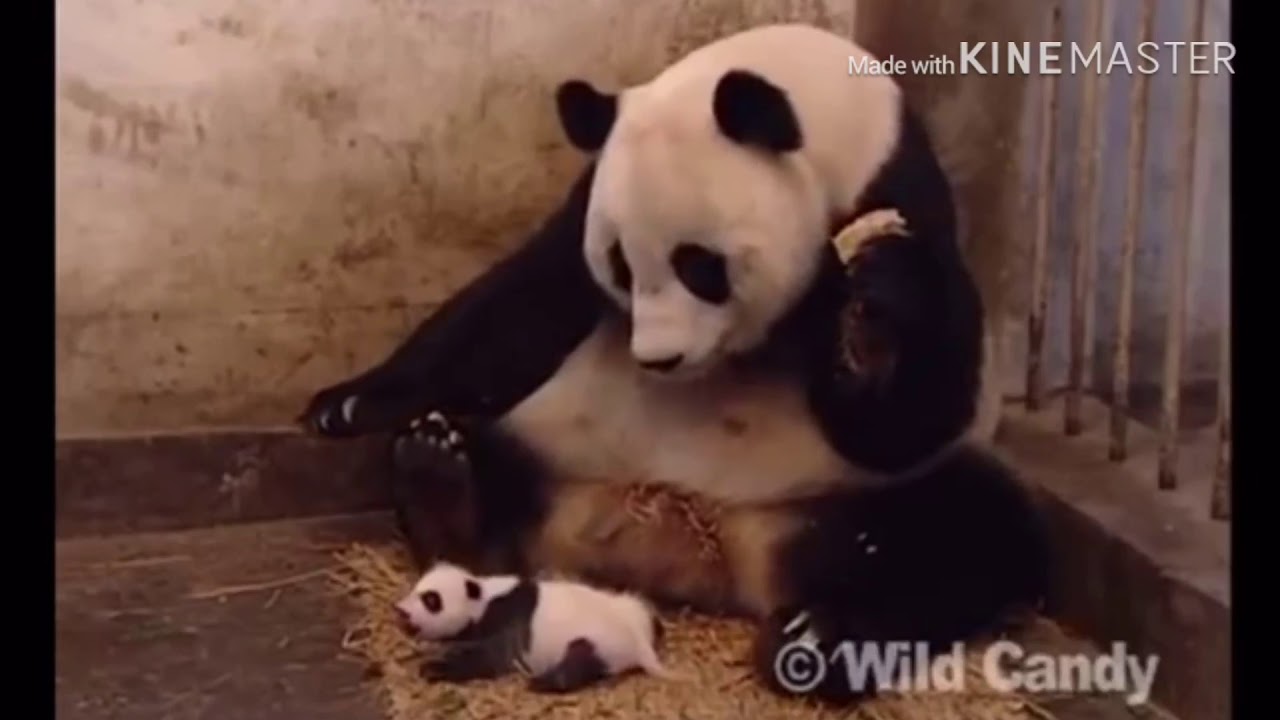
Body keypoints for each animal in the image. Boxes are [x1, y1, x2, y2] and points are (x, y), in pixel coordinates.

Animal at [394, 560, 678, 693]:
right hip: (629, 607)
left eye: (431, 600)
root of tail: (640, 645)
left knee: (577, 661)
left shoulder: (505, 620)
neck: (482, 598)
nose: (401, 612)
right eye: (416, 588)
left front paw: (435, 669)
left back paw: (542, 682)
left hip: (599, 642)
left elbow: (492, 658)